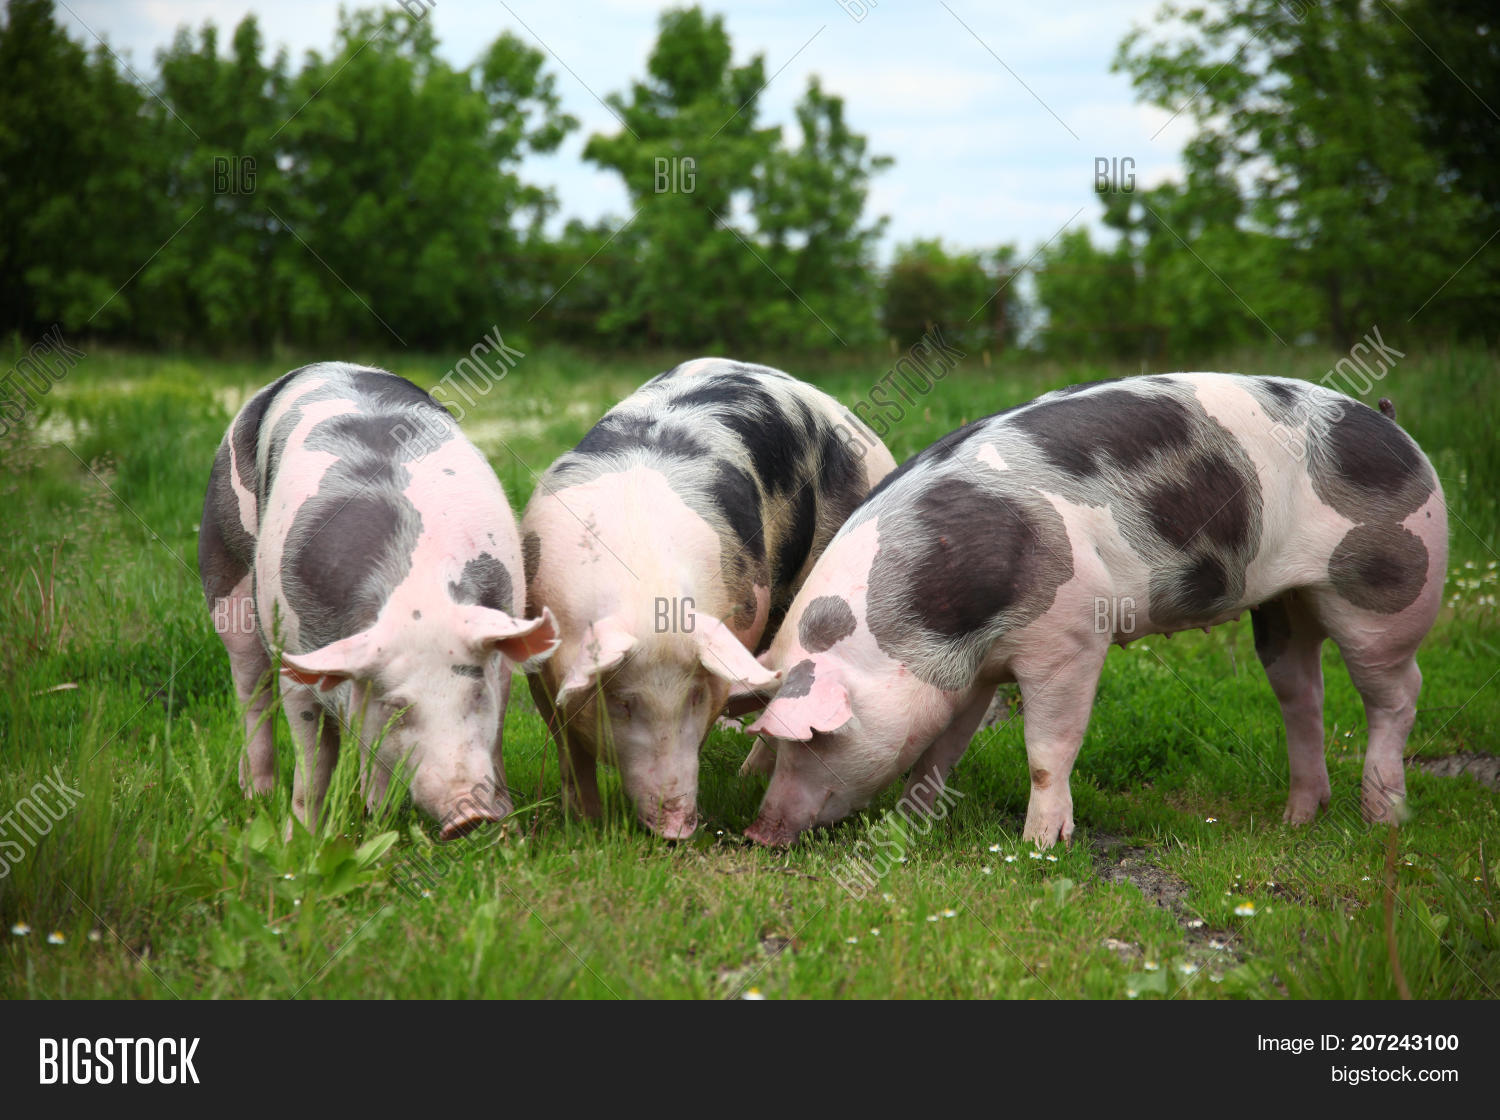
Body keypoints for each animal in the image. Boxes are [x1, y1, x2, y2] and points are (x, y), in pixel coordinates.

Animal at [198, 362, 558, 839]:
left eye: (476, 693)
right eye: (396, 708)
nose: (468, 815)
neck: (416, 597)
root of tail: (321, 366)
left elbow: (493, 745)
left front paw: (509, 836)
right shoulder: (297, 664)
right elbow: (314, 765)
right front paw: (301, 840)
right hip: (226, 565)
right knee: (251, 691)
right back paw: (258, 797)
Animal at [522, 358, 896, 837]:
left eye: (695, 697)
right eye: (622, 702)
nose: (677, 827)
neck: (645, 591)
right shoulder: (540, 665)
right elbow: (570, 750)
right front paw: (585, 825)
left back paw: (747, 776)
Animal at [741, 373, 1447, 847]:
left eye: (812, 739)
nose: (756, 833)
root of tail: (1391, 423)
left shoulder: (1072, 636)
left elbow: (1048, 747)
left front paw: (1040, 845)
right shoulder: (965, 672)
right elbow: (940, 749)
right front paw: (906, 825)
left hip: (1390, 586)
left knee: (1399, 693)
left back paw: (1382, 817)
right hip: (1283, 604)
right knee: (1304, 691)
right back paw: (1297, 818)